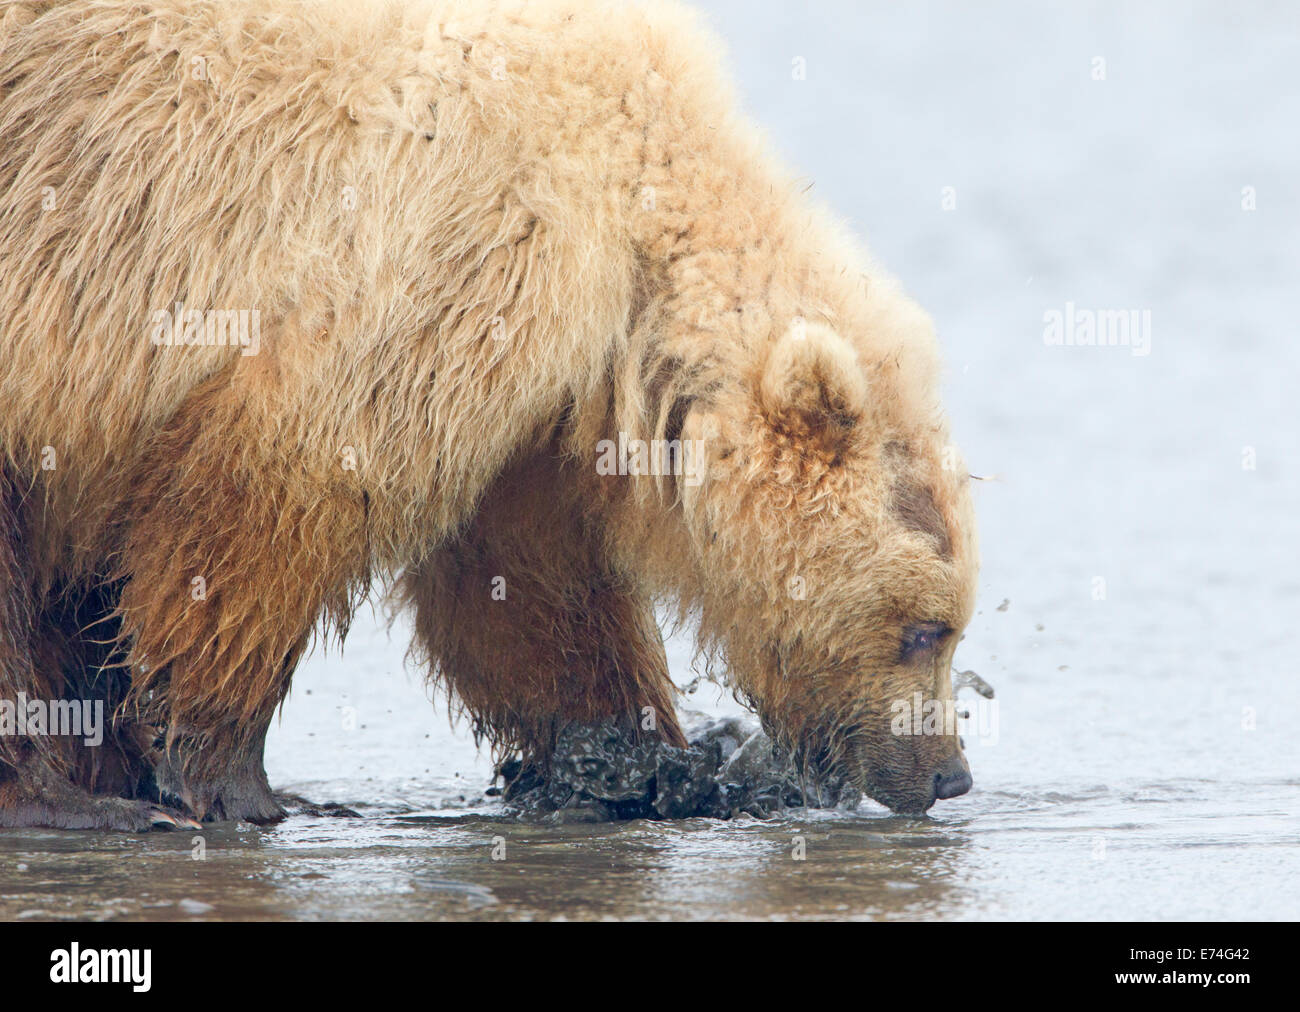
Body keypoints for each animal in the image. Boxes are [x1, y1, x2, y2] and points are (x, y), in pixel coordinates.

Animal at [0, 0, 978, 829]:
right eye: (921, 630)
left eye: (953, 624)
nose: (950, 774)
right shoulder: (451, 263)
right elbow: (268, 513)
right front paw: (225, 775)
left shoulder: (534, 405)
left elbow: (525, 590)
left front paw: (641, 760)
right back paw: (64, 798)